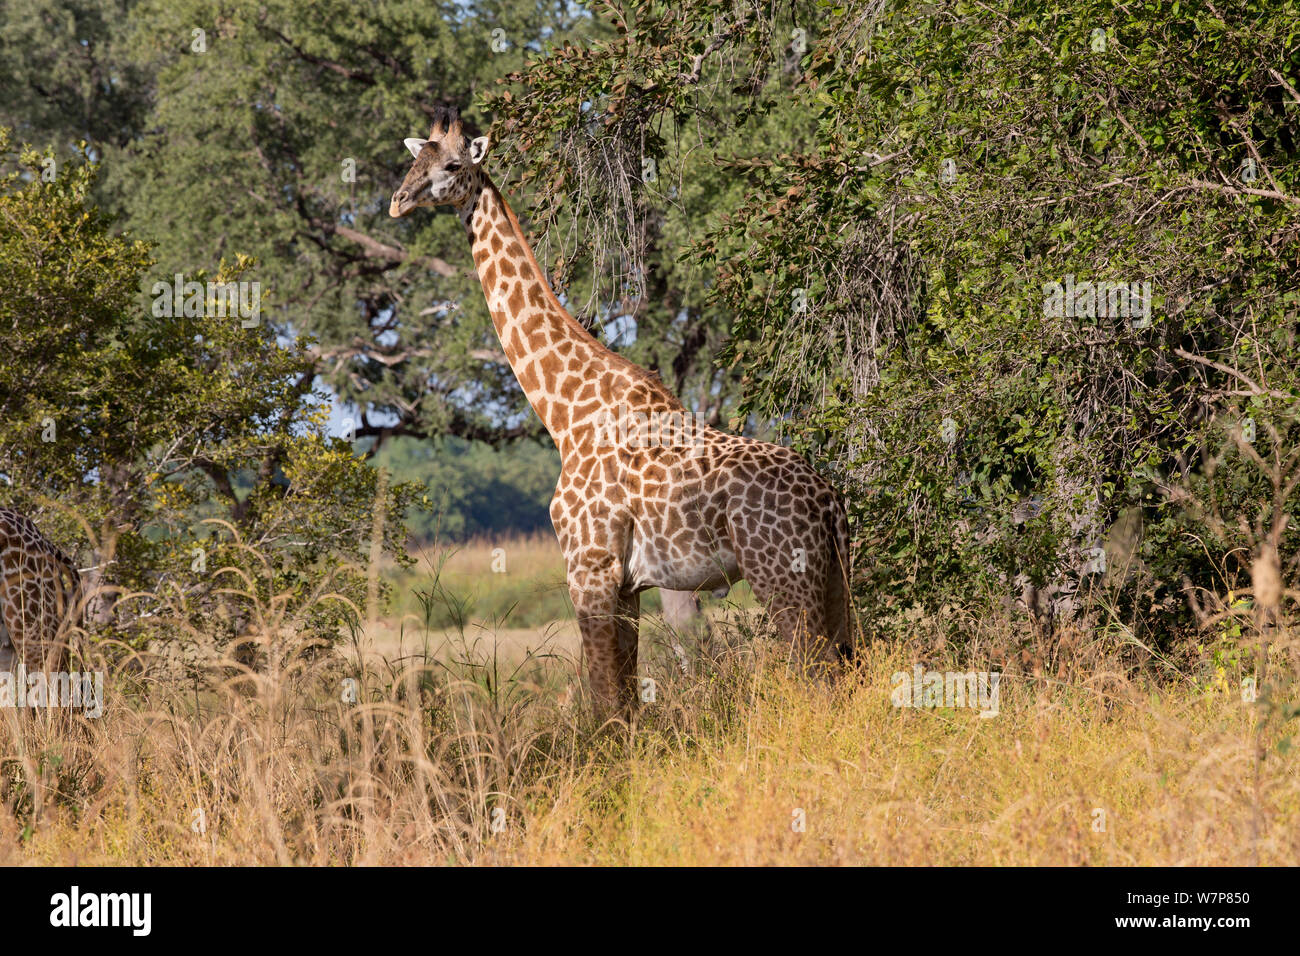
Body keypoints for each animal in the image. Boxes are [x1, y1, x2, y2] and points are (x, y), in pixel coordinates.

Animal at [390, 107, 852, 716]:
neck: (565, 414)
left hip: (782, 579)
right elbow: (625, 702)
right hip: (834, 583)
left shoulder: (590, 567)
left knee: (818, 682)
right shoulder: (629, 585)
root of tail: (827, 501)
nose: (398, 201)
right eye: (413, 160)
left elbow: (605, 701)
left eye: (449, 165)